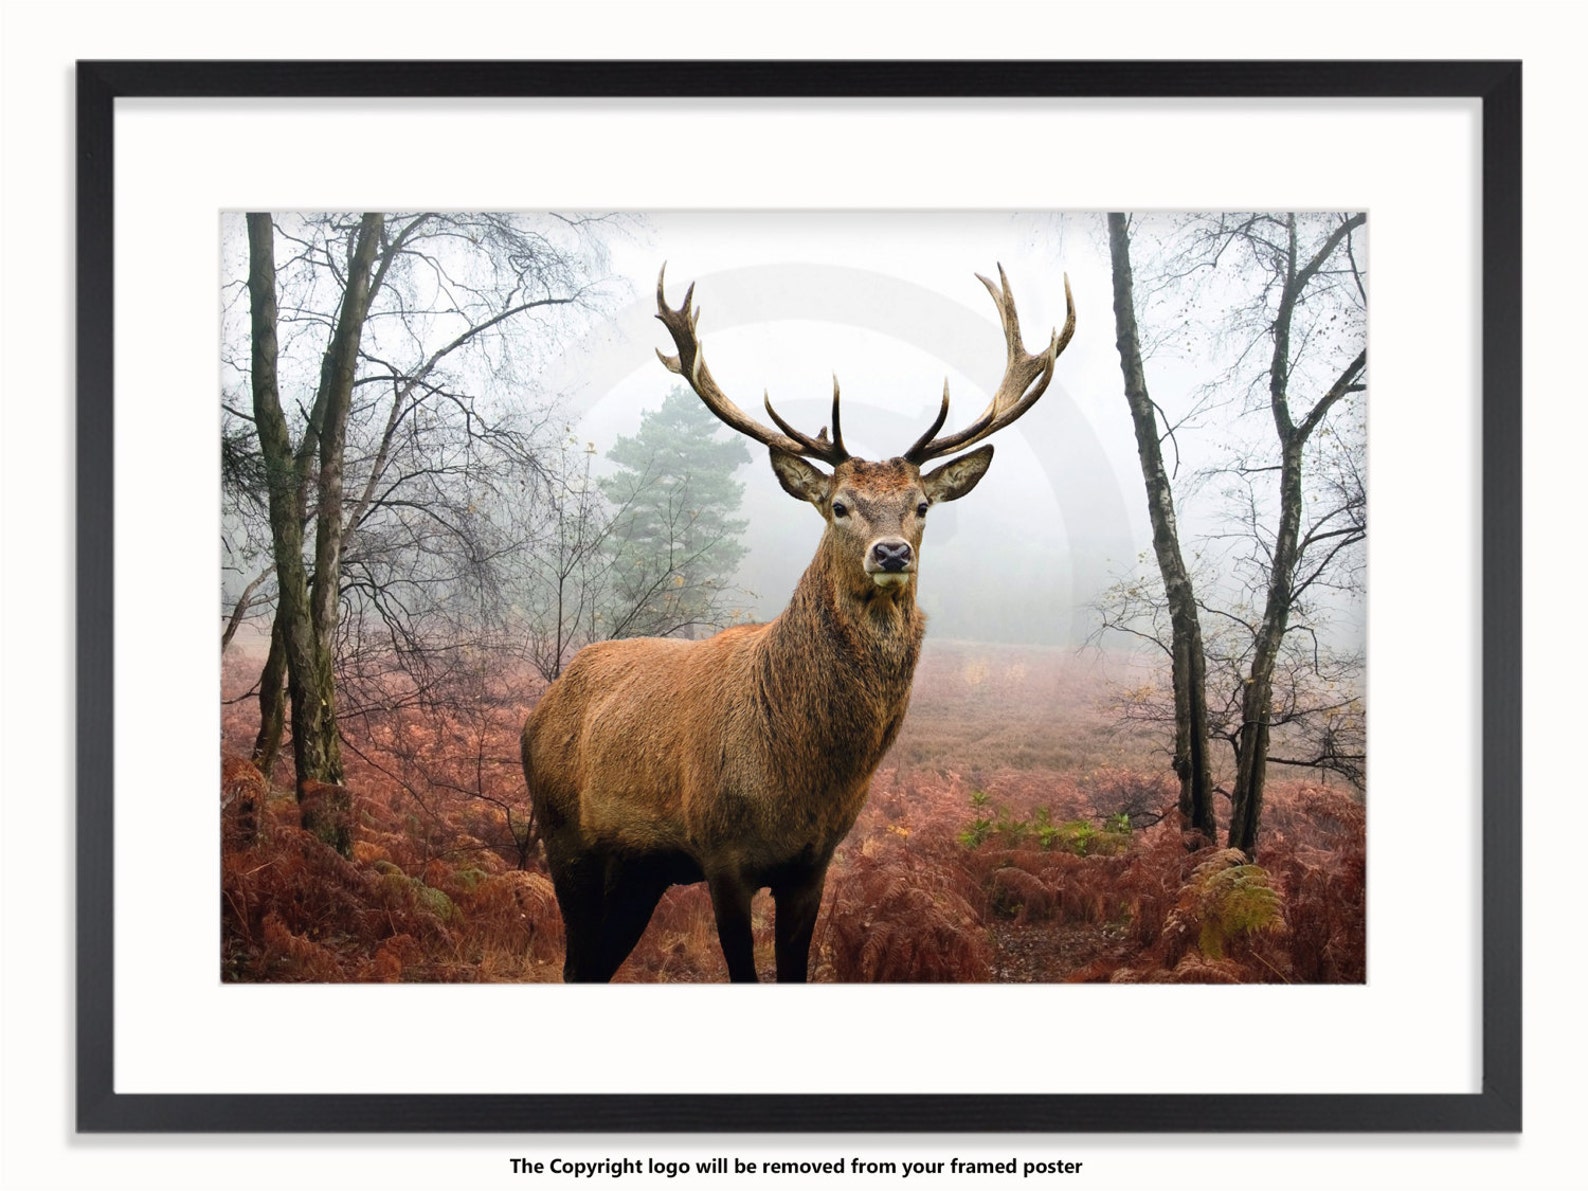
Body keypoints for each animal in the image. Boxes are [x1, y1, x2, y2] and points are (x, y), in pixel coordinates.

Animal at [521, 264, 1075, 982]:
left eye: (922, 505)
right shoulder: (721, 854)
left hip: (640, 870)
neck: (798, 775)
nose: (890, 552)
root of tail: (540, 709)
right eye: (839, 505)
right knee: (573, 958)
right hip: (565, 837)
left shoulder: (813, 862)